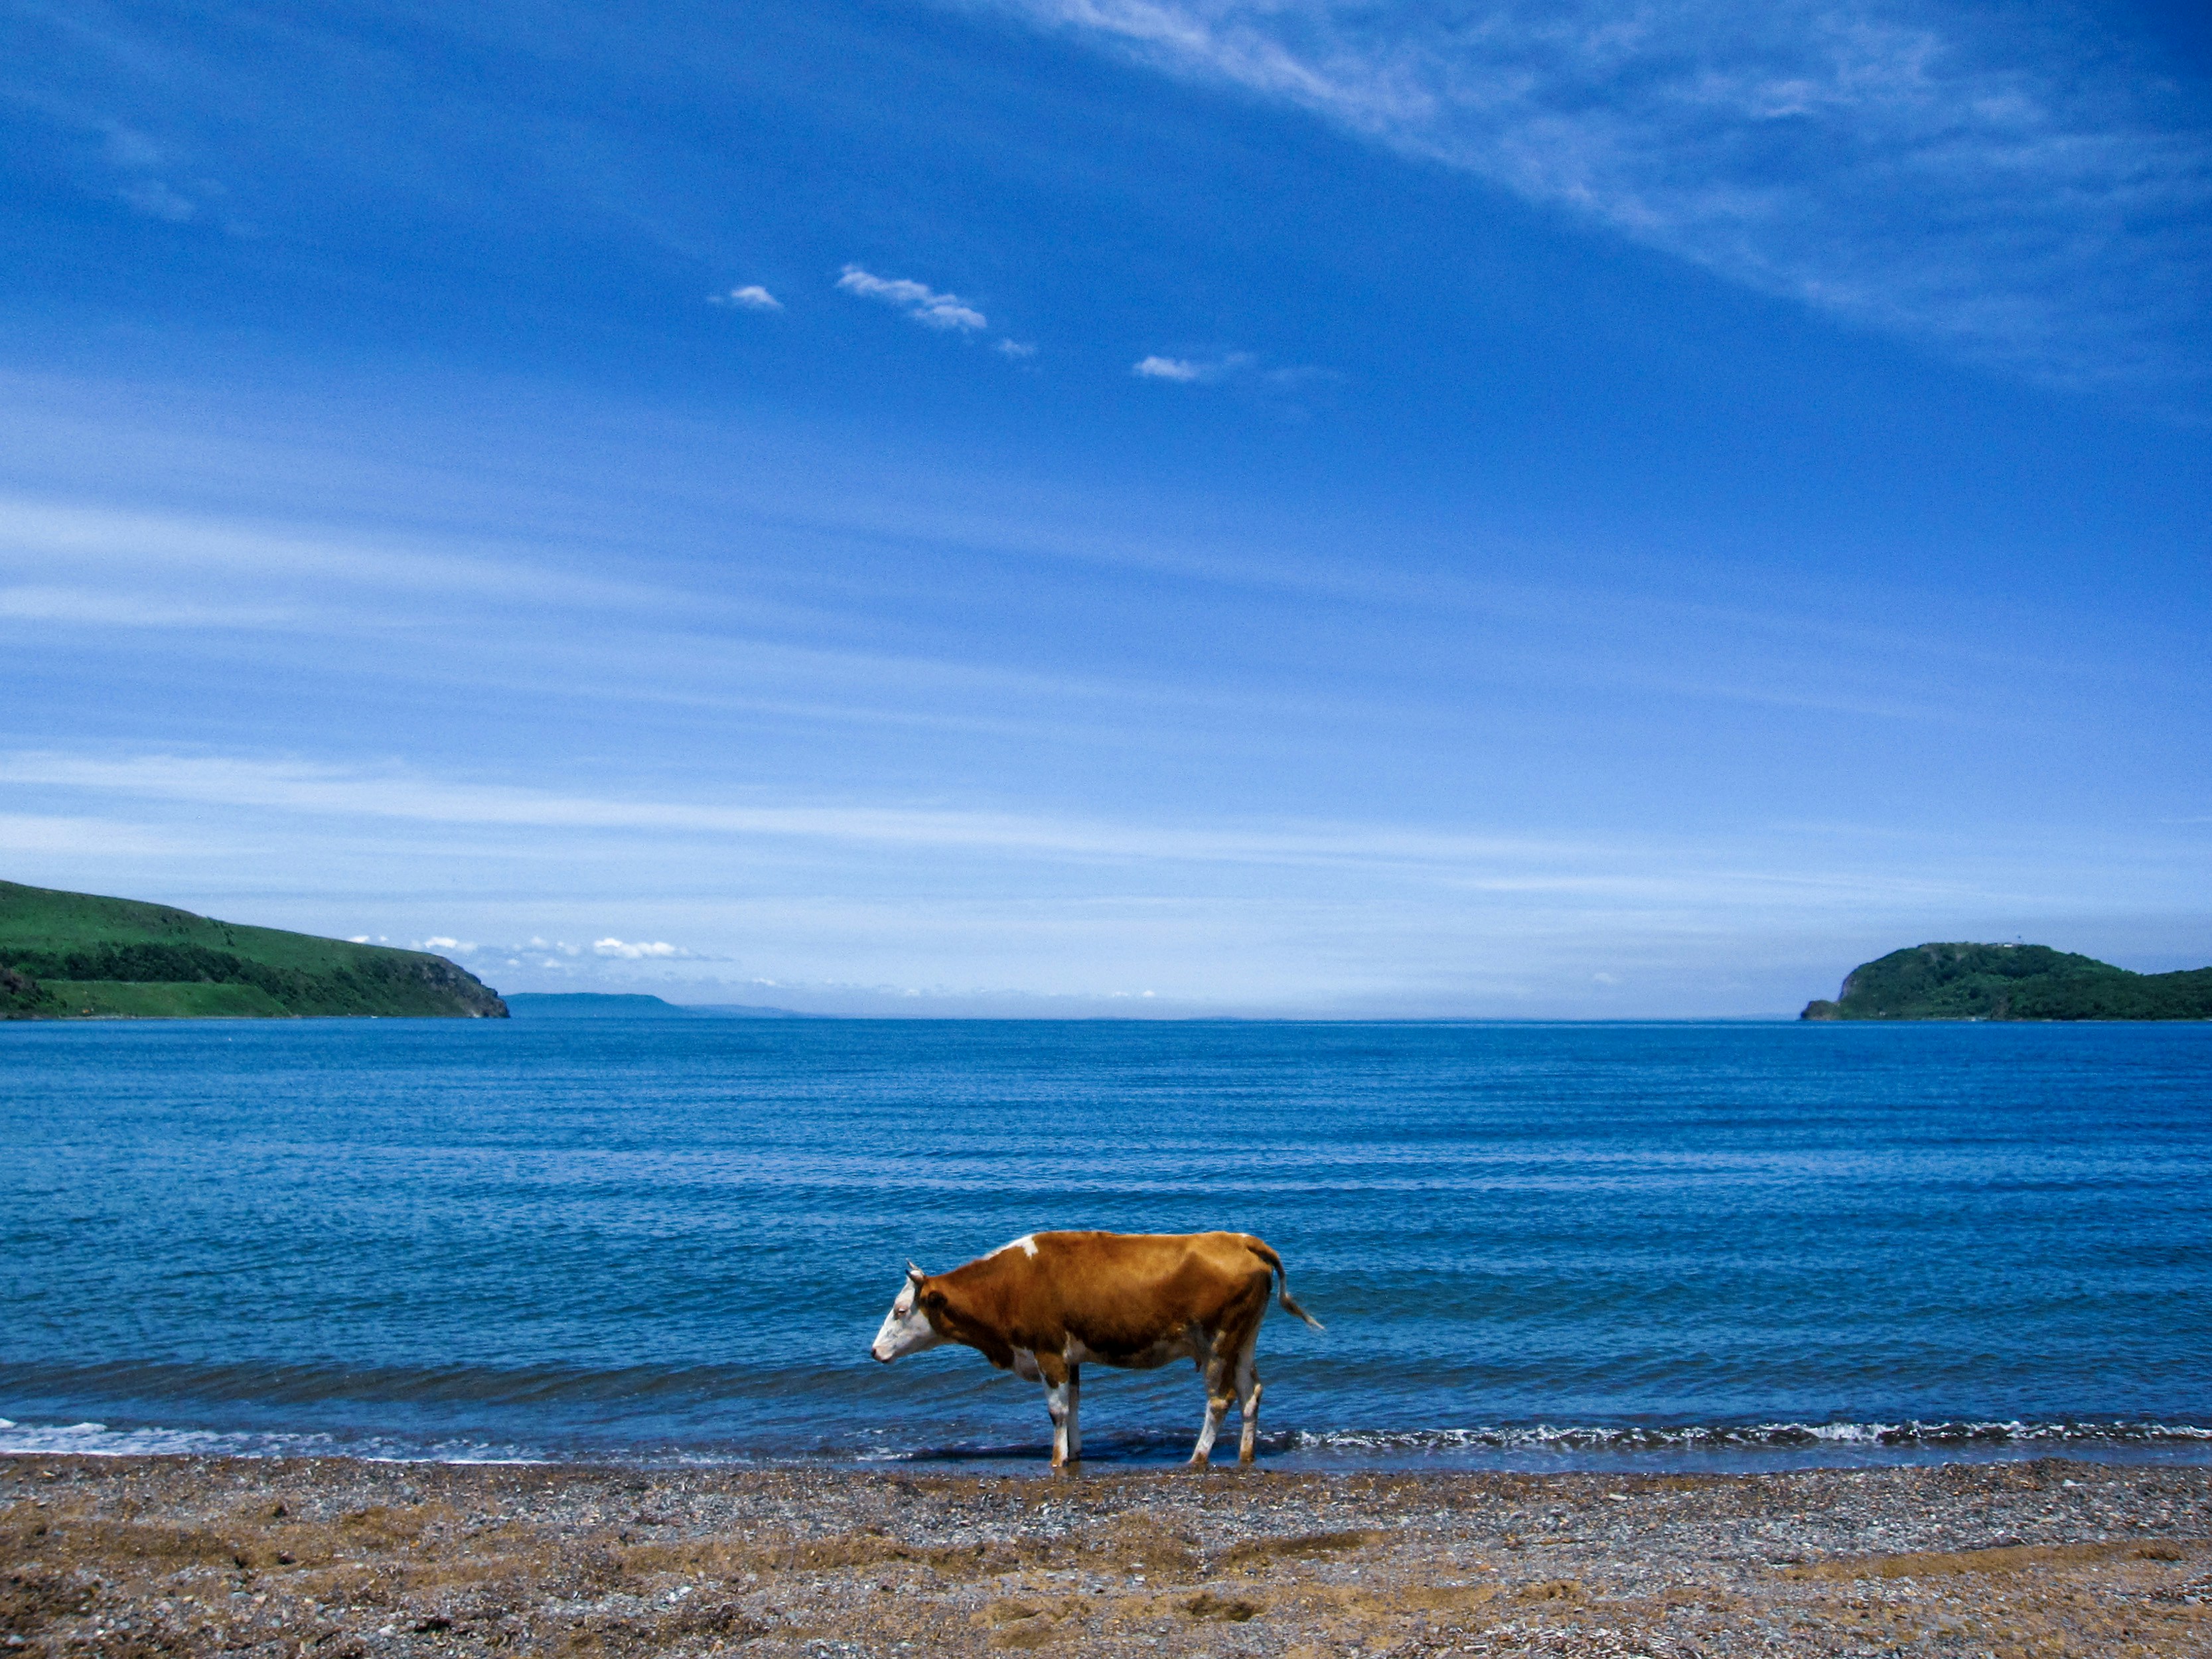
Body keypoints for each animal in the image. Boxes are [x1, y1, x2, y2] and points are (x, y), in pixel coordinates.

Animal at [870, 1229, 1323, 1469]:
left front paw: (1056, 1461)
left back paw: (1197, 1456)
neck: (1008, 1287)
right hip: (1244, 1342)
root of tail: (1241, 1240)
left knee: (1220, 1399)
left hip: (1220, 1343)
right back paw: (1246, 1454)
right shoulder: (1070, 1359)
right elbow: (1073, 1403)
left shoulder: (1049, 1352)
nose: (874, 1351)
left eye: (901, 1309)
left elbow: (1056, 1410)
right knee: (1251, 1394)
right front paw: (1075, 1453)